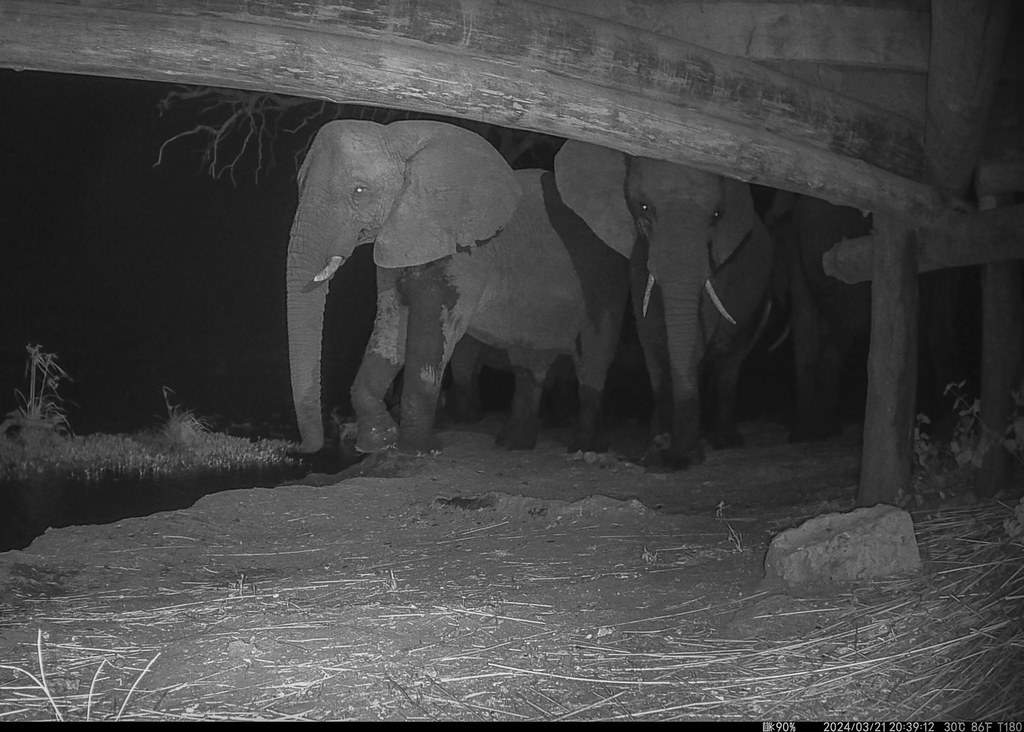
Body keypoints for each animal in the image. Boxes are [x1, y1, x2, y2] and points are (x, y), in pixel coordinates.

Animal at [286, 120, 630, 456]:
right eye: (299, 184)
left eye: (359, 191)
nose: (300, 447)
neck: (397, 137)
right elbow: (389, 330)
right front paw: (379, 442)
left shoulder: (467, 255)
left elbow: (431, 338)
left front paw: (418, 451)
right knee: (530, 363)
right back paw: (513, 445)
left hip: (606, 282)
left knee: (592, 364)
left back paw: (584, 448)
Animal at [553, 141, 774, 470]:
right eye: (644, 207)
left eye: (716, 215)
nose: (663, 444)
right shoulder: (637, 249)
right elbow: (651, 335)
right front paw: (654, 451)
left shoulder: (717, 261)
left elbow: (696, 331)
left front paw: (682, 454)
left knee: (731, 358)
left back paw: (728, 441)